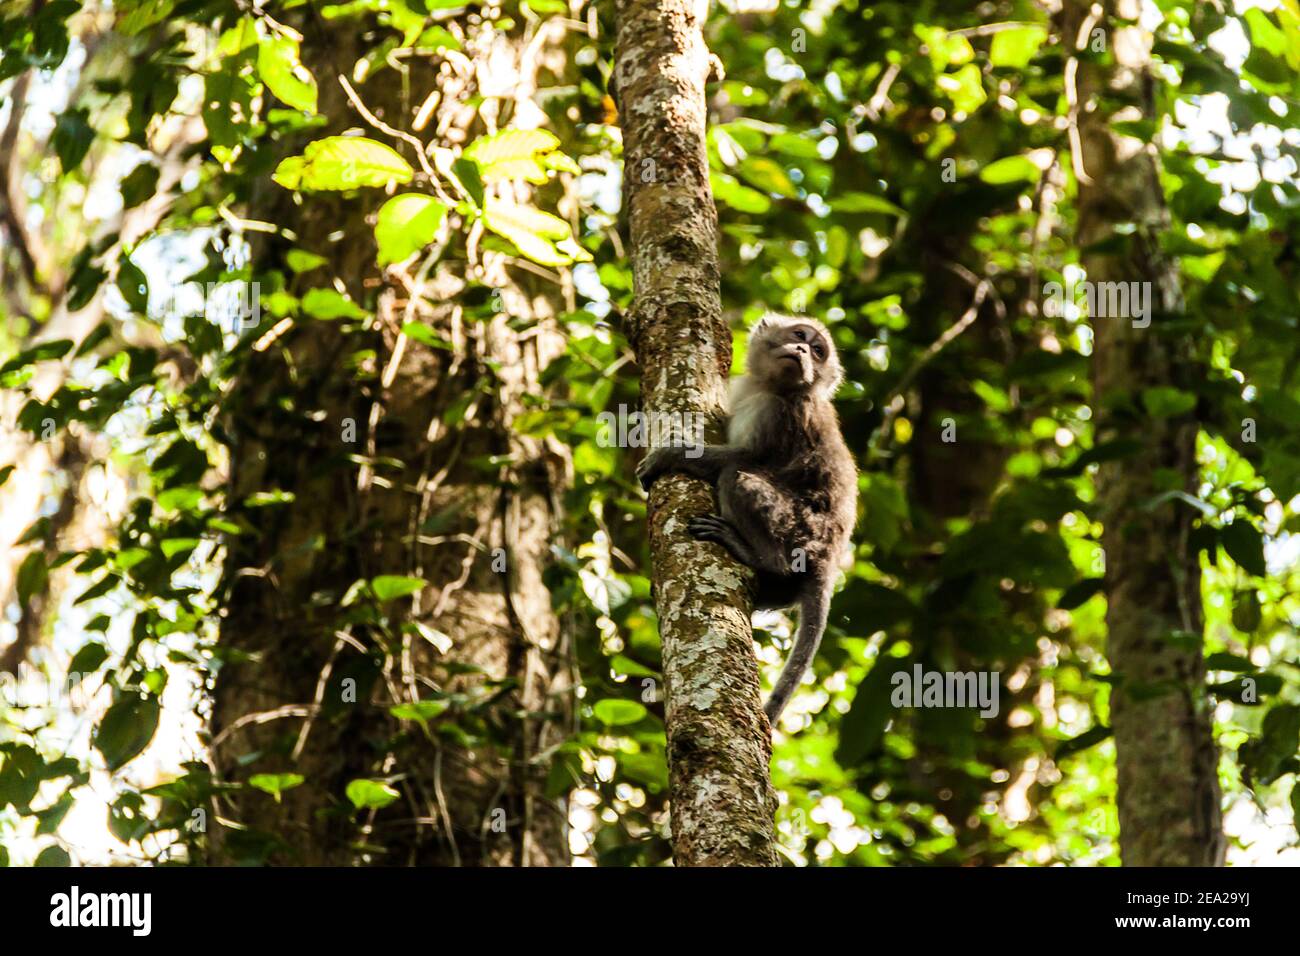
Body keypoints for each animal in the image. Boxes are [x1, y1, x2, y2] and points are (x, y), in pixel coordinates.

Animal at [637, 313, 858, 726]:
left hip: (798, 529)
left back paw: (759, 557)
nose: (803, 350)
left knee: (736, 476)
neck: (770, 387)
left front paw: (670, 455)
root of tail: (829, 557)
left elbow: (745, 458)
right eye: (800, 336)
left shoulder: (781, 415)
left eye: (818, 351)